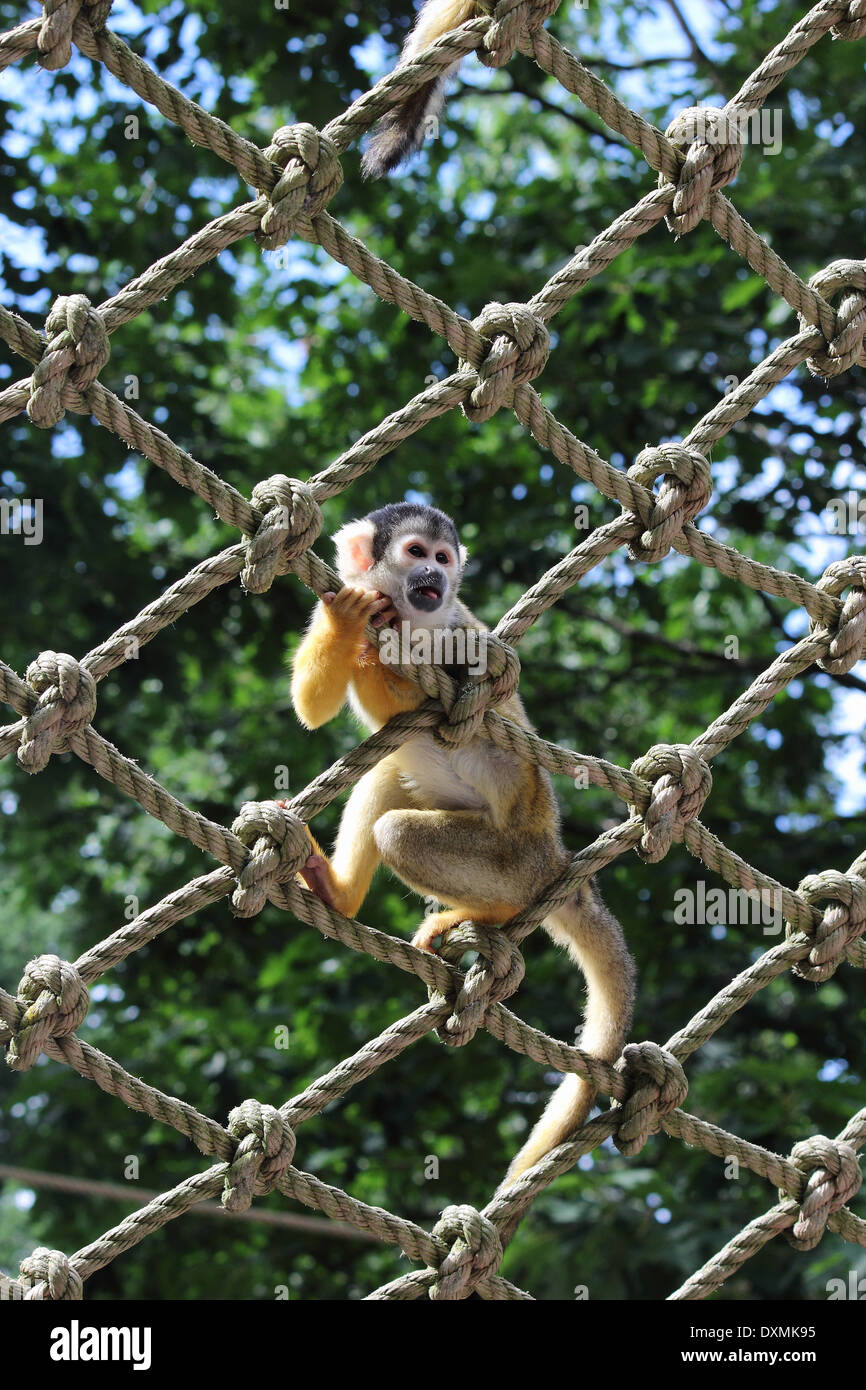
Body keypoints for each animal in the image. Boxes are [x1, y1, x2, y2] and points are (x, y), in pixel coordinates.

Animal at [288, 501, 635, 1185]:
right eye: (417, 552)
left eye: (443, 559)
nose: (434, 579)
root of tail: (554, 854)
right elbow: (312, 707)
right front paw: (352, 624)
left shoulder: (458, 630)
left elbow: (433, 699)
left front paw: (375, 640)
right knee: (385, 774)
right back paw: (337, 894)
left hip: (510, 859)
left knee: (401, 826)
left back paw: (486, 915)